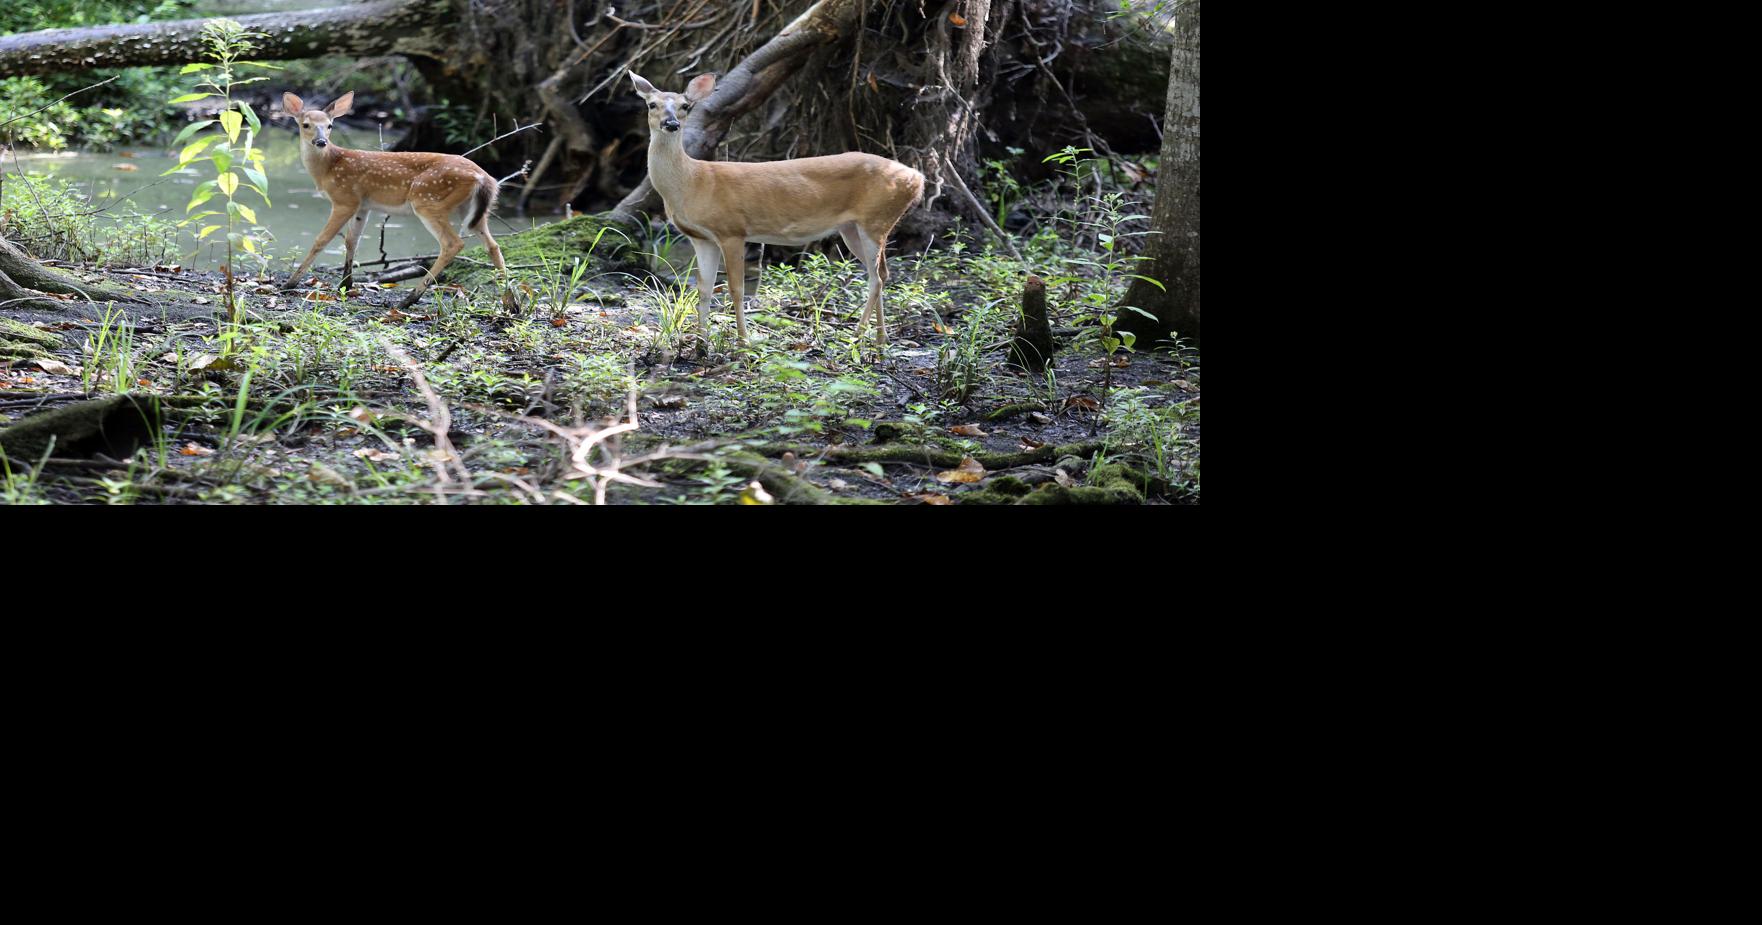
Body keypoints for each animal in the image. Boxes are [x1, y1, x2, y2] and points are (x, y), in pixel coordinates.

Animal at [278, 91, 515, 312]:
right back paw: (512, 304)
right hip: (471, 210)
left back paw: (409, 299)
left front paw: (290, 283)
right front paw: (345, 285)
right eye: (306, 124)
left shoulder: (344, 198)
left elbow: (321, 240)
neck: (328, 167)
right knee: (493, 245)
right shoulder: (362, 205)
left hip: (428, 200)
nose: (321, 142)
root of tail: (484, 177)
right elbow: (352, 241)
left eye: (329, 125)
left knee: (452, 243)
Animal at [629, 72, 925, 353]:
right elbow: (704, 289)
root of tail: (917, 177)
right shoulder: (702, 238)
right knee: (883, 273)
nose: (671, 124)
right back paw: (880, 339)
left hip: (875, 219)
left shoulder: (731, 229)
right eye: (652, 104)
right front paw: (701, 345)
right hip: (854, 227)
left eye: (685, 106)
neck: (692, 182)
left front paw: (742, 343)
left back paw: (857, 336)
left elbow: (736, 289)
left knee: (876, 277)